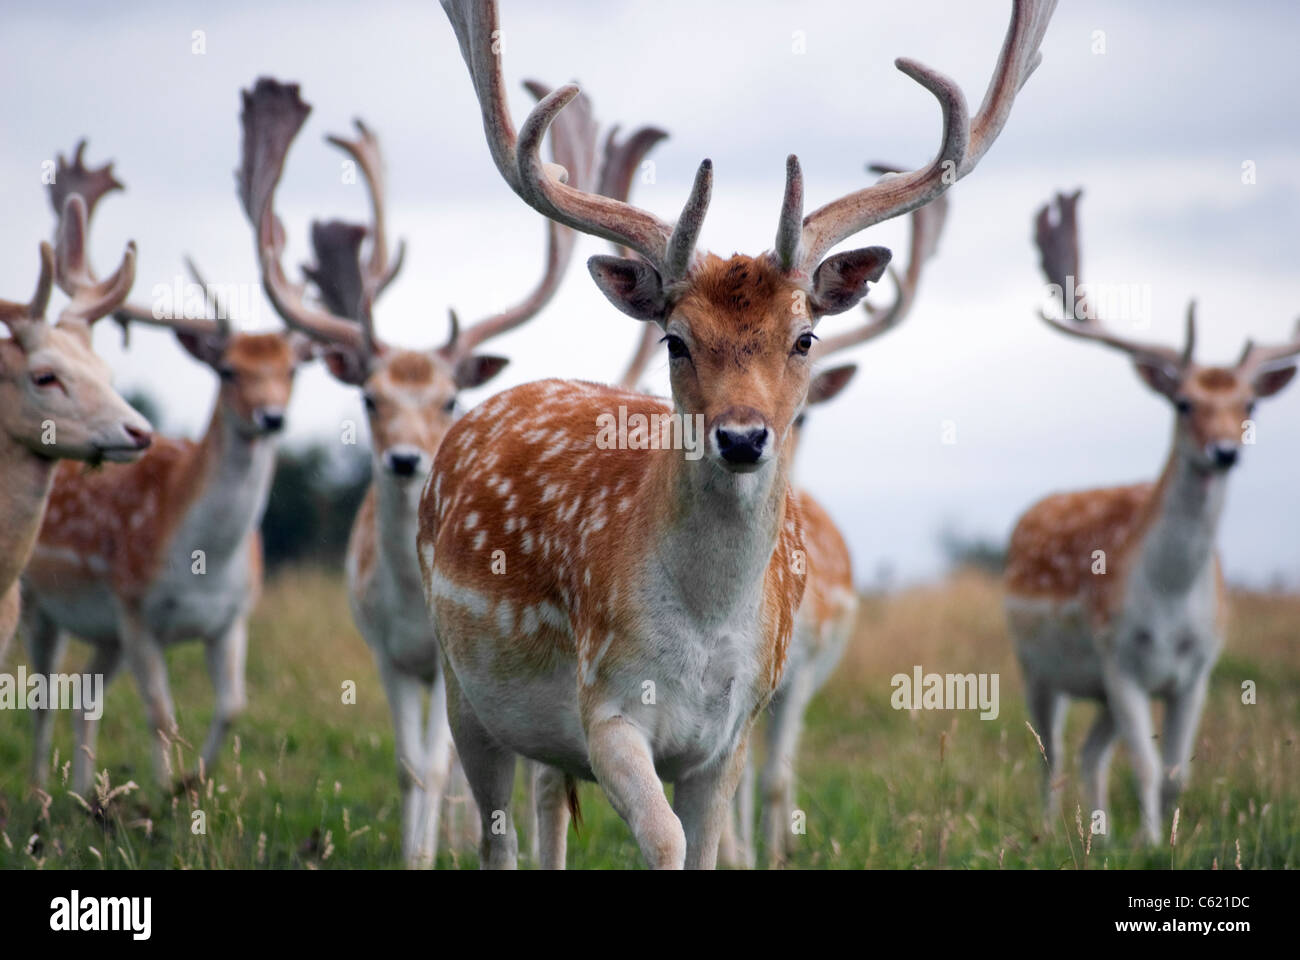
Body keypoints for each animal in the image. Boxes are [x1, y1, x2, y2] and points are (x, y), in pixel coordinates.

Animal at [21, 138, 315, 795]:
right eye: (228, 369)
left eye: (291, 370)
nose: (272, 417)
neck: (202, 562)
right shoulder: (136, 609)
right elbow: (160, 711)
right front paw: (167, 794)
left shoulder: (232, 619)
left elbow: (232, 705)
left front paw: (187, 784)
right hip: (36, 597)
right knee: (44, 692)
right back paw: (40, 790)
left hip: (103, 629)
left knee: (85, 695)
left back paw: (83, 794)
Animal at [410, 0, 1053, 869]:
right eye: (675, 339)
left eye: (804, 336)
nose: (743, 437)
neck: (705, 632)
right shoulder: (608, 709)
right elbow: (667, 841)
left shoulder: (731, 732)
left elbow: (709, 842)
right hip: (463, 686)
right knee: (495, 828)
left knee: (548, 803)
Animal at [1005, 190, 1300, 845]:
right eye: (1184, 402)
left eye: (1248, 404)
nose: (1225, 452)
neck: (1167, 604)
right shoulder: (1119, 657)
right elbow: (1143, 764)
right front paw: (1149, 844)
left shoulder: (1198, 668)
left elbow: (1174, 772)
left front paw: (1158, 840)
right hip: (1036, 665)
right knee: (1051, 755)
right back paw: (1050, 830)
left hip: (1099, 692)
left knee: (1090, 752)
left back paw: (1101, 837)